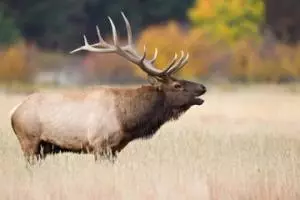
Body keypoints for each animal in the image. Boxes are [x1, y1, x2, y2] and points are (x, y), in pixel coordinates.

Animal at [9, 12, 206, 164]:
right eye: (177, 85)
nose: (202, 87)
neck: (127, 121)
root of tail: (14, 111)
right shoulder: (99, 144)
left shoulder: (115, 149)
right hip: (29, 141)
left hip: (41, 148)